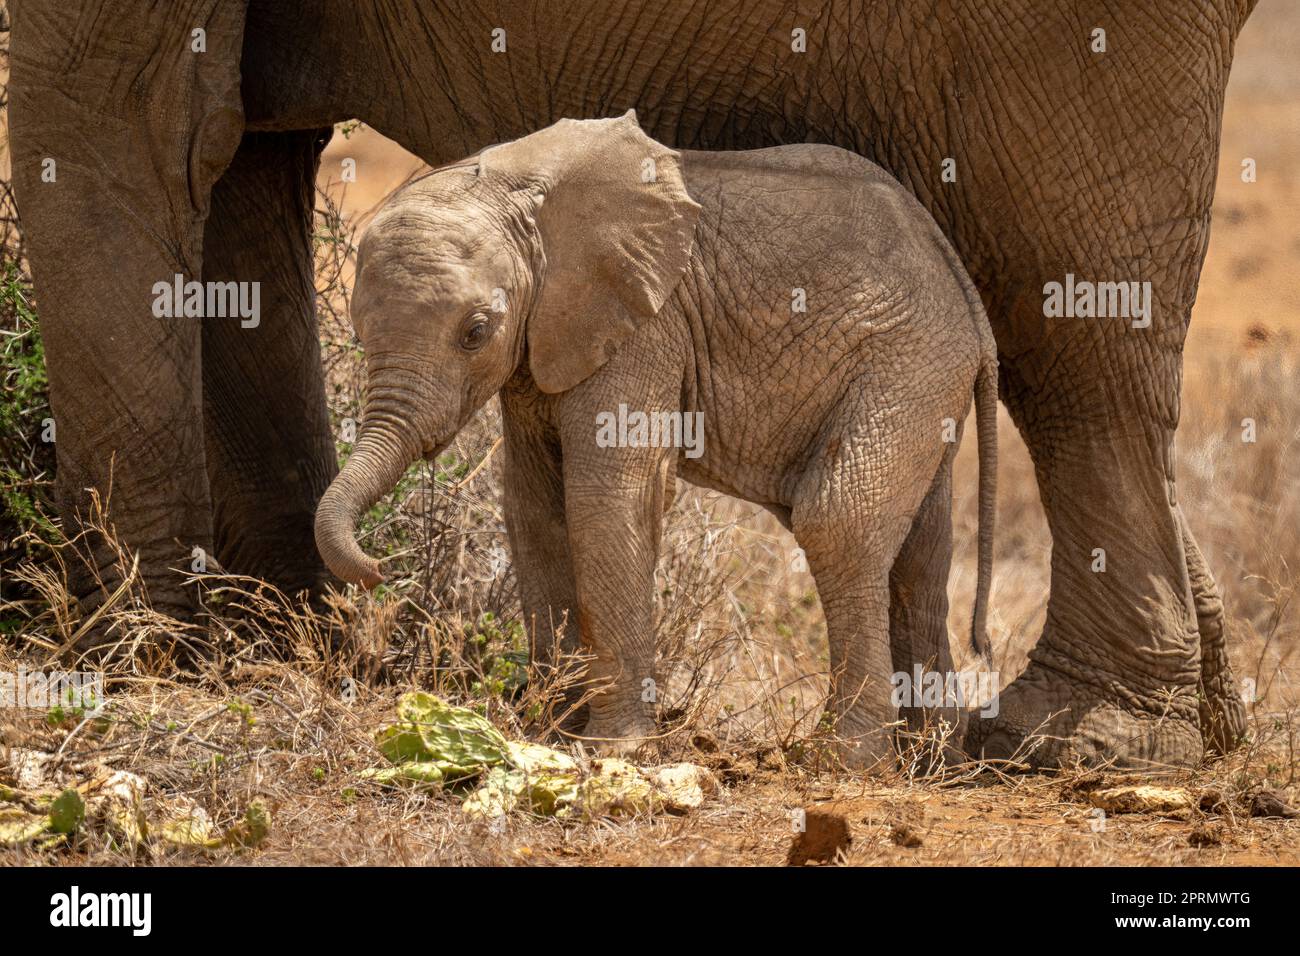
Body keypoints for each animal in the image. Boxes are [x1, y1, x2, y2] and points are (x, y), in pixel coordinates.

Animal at [311, 113, 1000, 763]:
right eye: (358, 328)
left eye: (476, 332)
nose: (380, 568)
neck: (512, 190)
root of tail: (963, 283)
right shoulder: (548, 340)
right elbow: (532, 508)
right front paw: (548, 733)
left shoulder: (644, 324)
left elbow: (605, 497)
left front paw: (615, 749)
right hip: (922, 376)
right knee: (920, 553)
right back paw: (931, 757)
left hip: (906, 361)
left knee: (839, 523)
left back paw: (846, 759)